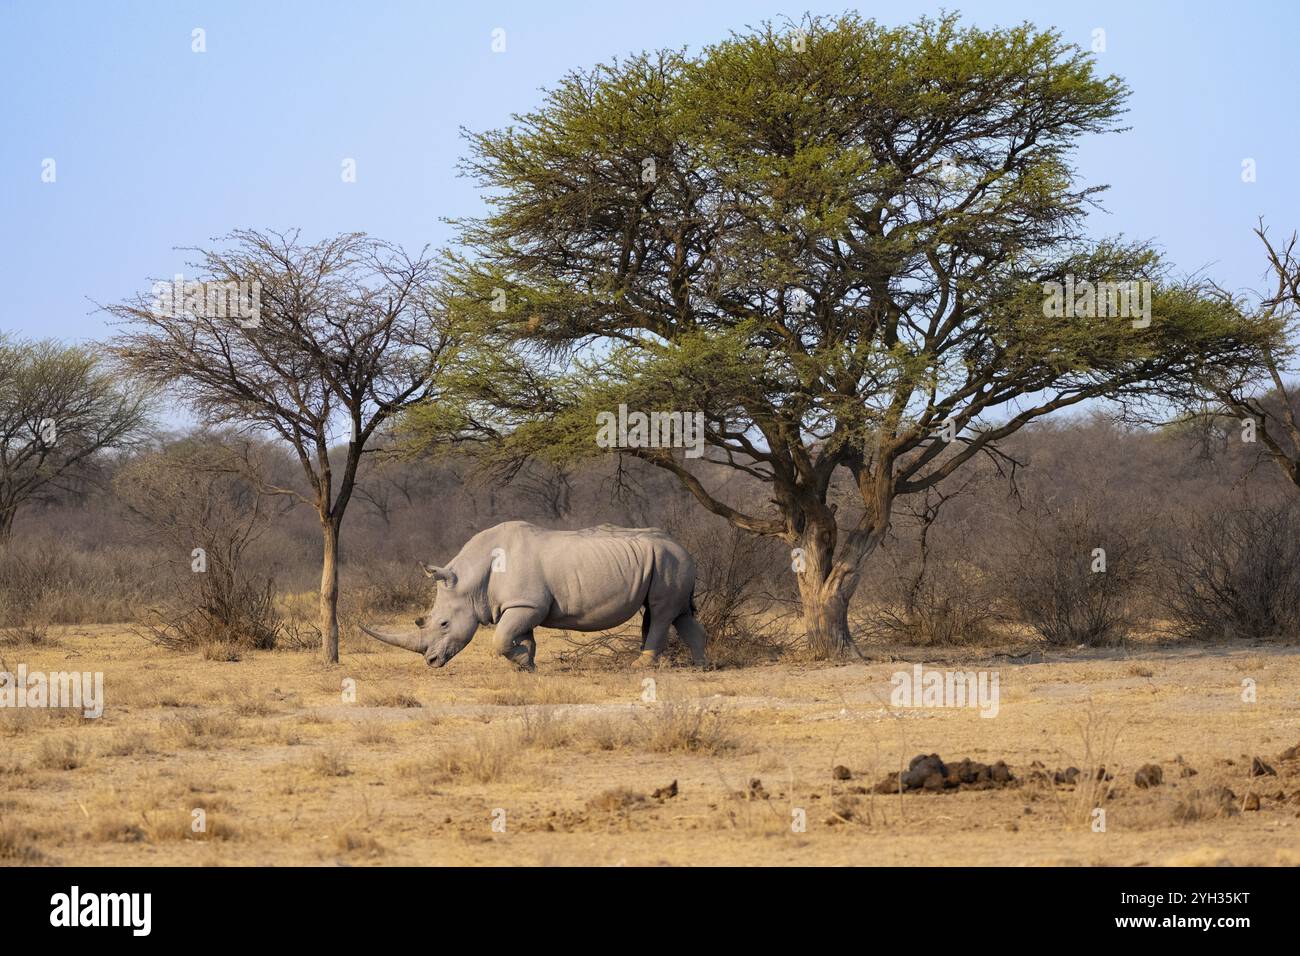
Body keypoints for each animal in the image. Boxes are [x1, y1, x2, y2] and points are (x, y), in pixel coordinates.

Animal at [360, 521, 708, 671]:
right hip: (667, 560)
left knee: (661, 612)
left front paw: (520, 662)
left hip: (669, 560)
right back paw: (701, 666)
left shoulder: (526, 603)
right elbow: (521, 637)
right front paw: (525, 665)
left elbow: (500, 638)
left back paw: (641, 666)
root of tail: (684, 546)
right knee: (678, 613)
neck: (472, 580)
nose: (431, 661)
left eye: (444, 624)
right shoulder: (519, 605)